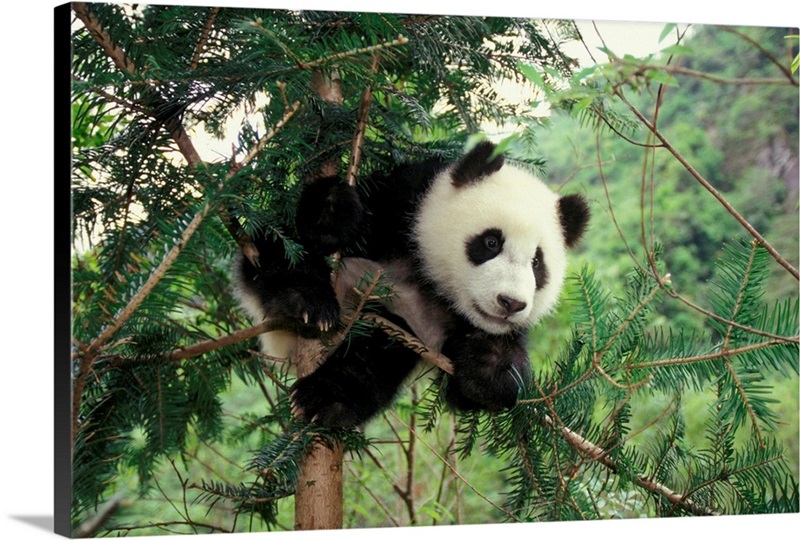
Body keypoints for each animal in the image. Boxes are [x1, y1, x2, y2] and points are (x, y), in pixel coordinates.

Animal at [232, 140, 589, 428]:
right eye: (490, 243)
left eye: (537, 264)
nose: (510, 303)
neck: (427, 277)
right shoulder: (403, 202)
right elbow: (310, 229)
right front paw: (334, 211)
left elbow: (477, 387)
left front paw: (488, 366)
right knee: (276, 249)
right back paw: (305, 304)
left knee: (379, 349)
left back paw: (328, 398)